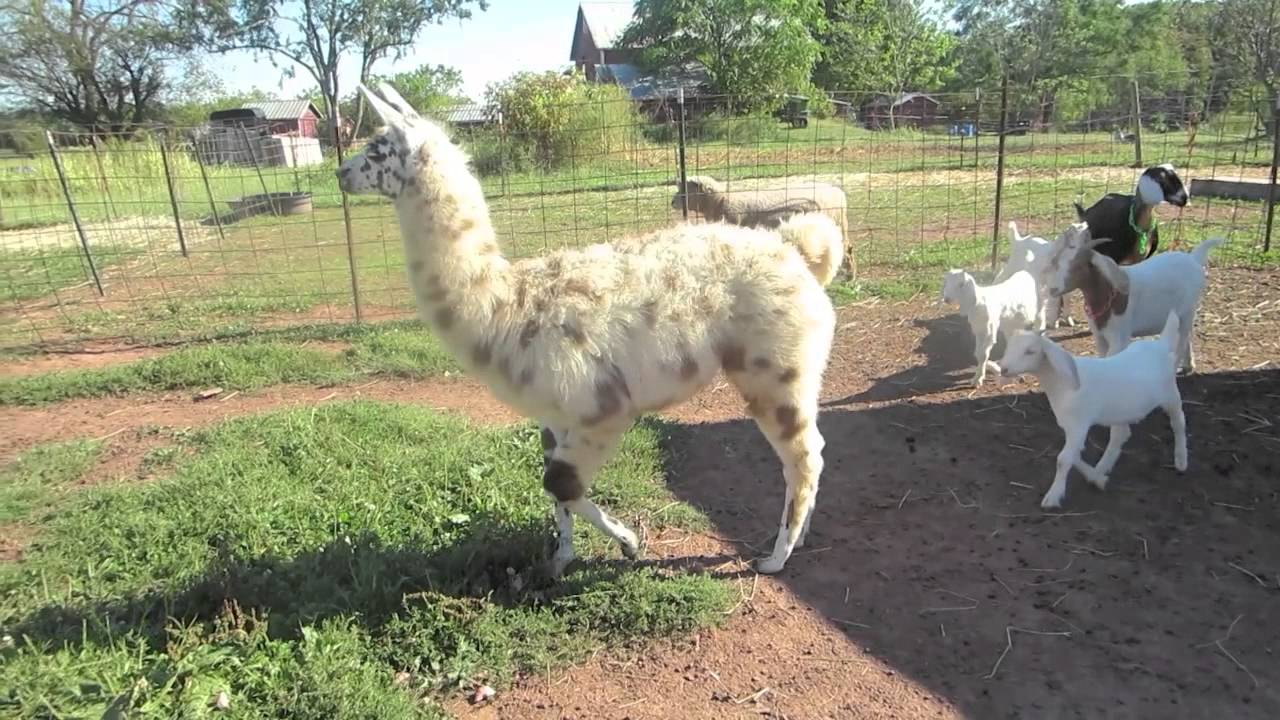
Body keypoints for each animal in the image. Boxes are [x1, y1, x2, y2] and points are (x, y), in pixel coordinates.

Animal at [996, 310, 1188, 509]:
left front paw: (1054, 495)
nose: (1004, 369)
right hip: (1121, 410)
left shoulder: (1078, 424)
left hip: (1170, 393)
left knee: (1178, 422)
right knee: (1121, 435)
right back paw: (1103, 466)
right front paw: (1097, 479)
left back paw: (1181, 459)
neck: (1061, 384)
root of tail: (1161, 345)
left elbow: (1063, 459)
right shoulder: (1072, 427)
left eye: (1030, 351)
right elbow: (1074, 456)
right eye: (1009, 346)